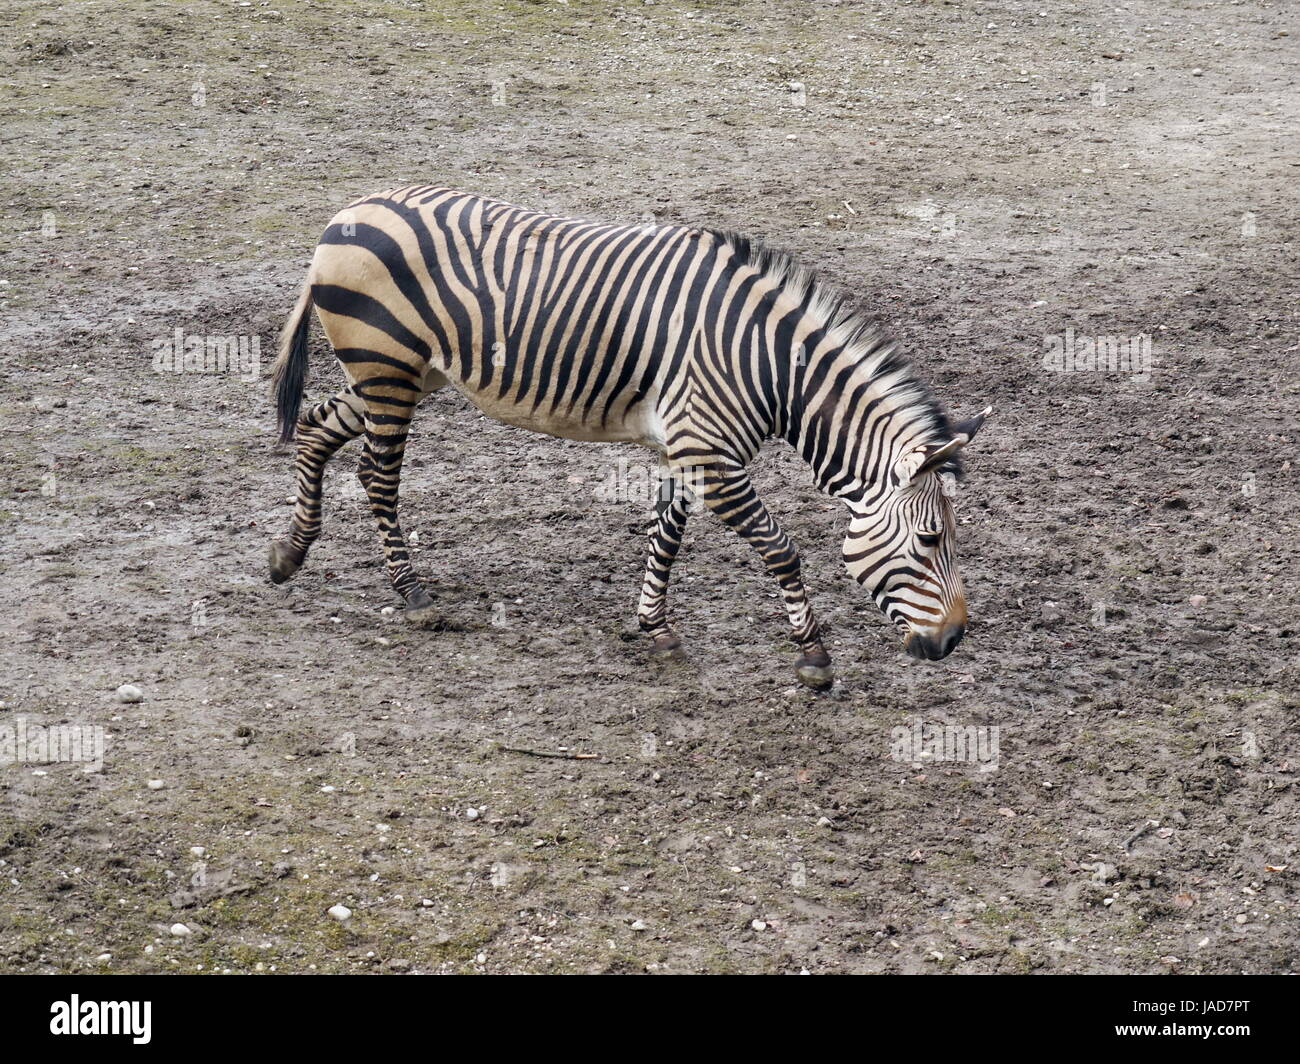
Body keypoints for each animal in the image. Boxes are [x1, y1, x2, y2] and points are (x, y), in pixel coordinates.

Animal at [268, 186, 990, 689]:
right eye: (931, 540)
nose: (955, 640)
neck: (768, 365)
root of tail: (347, 212)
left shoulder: (686, 448)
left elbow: (665, 533)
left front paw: (656, 627)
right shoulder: (710, 454)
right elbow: (780, 548)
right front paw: (813, 656)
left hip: (406, 373)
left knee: (315, 426)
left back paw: (290, 553)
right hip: (386, 368)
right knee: (377, 474)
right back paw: (410, 591)